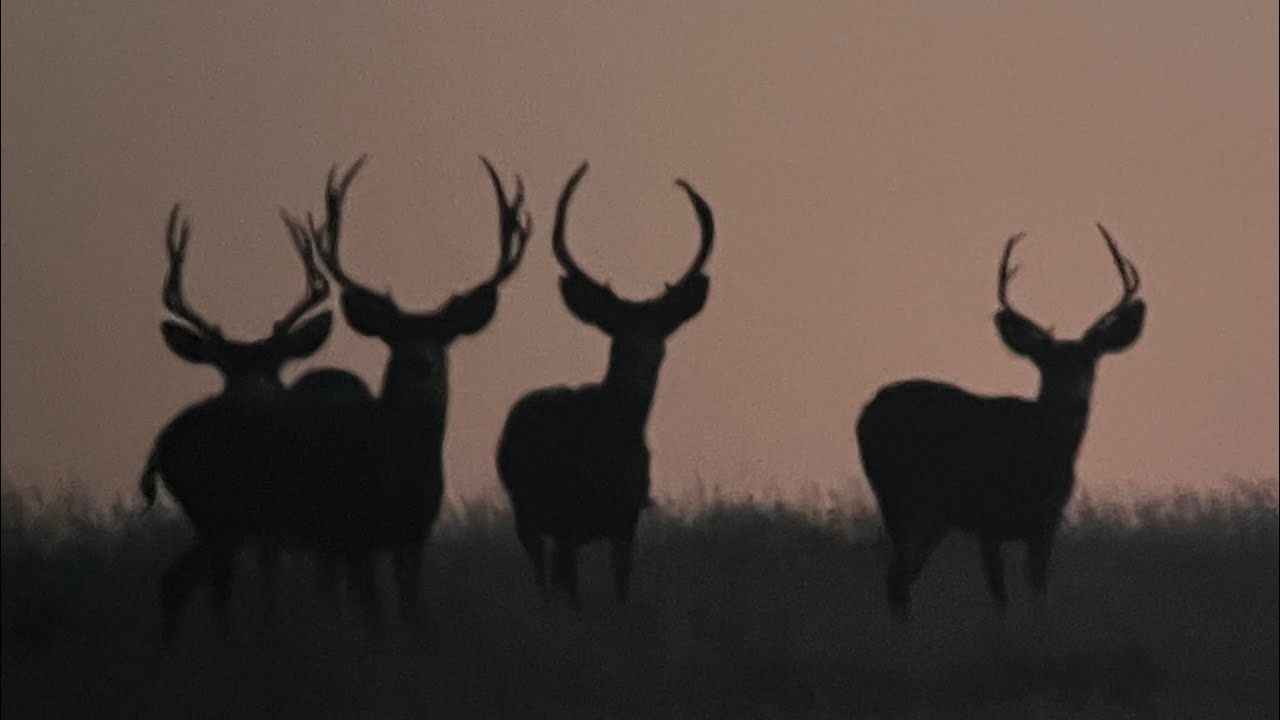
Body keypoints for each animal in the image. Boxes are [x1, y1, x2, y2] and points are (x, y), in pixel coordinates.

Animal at [497, 162, 713, 607]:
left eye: (661, 333)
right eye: (617, 333)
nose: (641, 366)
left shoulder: (626, 518)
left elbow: (622, 587)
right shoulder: (565, 515)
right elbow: (571, 590)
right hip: (524, 509)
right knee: (543, 575)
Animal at [855, 225, 1145, 620]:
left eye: (1091, 361)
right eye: (1045, 364)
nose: (1075, 402)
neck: (1039, 465)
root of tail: (866, 414)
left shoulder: (1046, 524)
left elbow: (1039, 596)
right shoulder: (988, 519)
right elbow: (1001, 600)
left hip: (930, 513)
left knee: (900, 577)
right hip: (901, 495)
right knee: (897, 578)